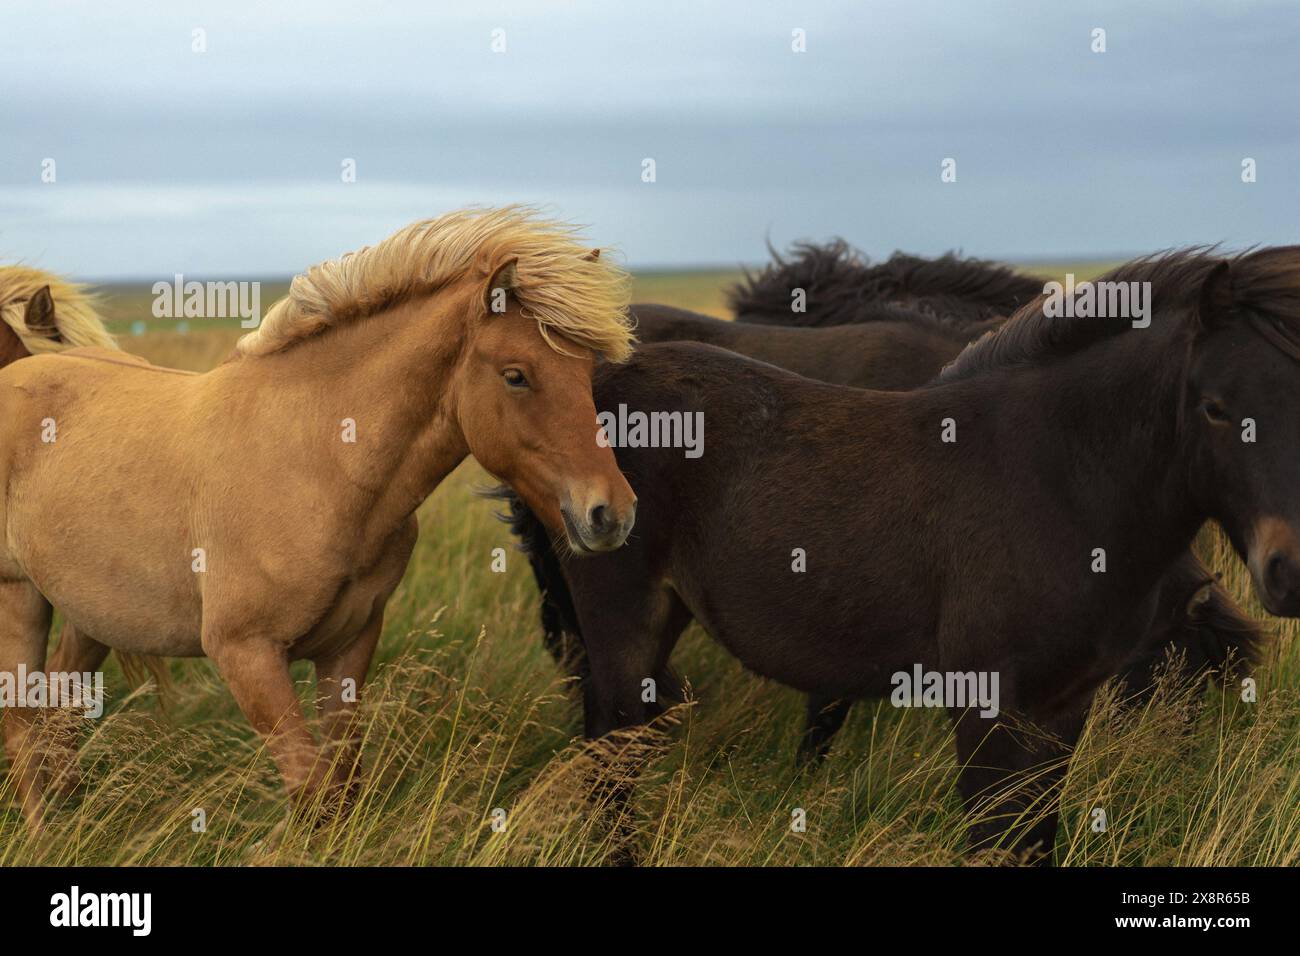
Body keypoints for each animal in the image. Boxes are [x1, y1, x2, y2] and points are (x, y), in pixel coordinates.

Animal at [0, 207, 637, 830]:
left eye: (587, 373)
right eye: (515, 374)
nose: (611, 513)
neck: (319, 462)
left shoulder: (349, 648)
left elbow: (341, 787)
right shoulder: (247, 655)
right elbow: (311, 793)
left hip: (89, 619)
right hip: (22, 599)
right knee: (24, 724)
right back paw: (43, 836)